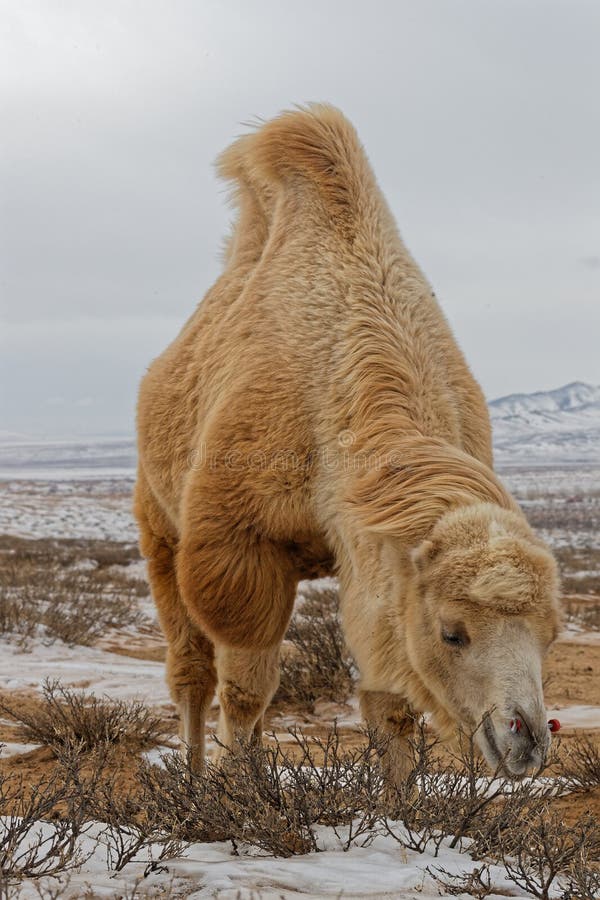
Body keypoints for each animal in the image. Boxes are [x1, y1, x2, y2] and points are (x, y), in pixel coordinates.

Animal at [134, 104, 561, 779]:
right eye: (453, 632)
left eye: (551, 633)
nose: (526, 740)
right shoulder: (237, 544)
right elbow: (247, 687)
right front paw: (233, 795)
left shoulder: (375, 555)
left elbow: (390, 704)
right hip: (158, 520)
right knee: (192, 673)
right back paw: (198, 776)